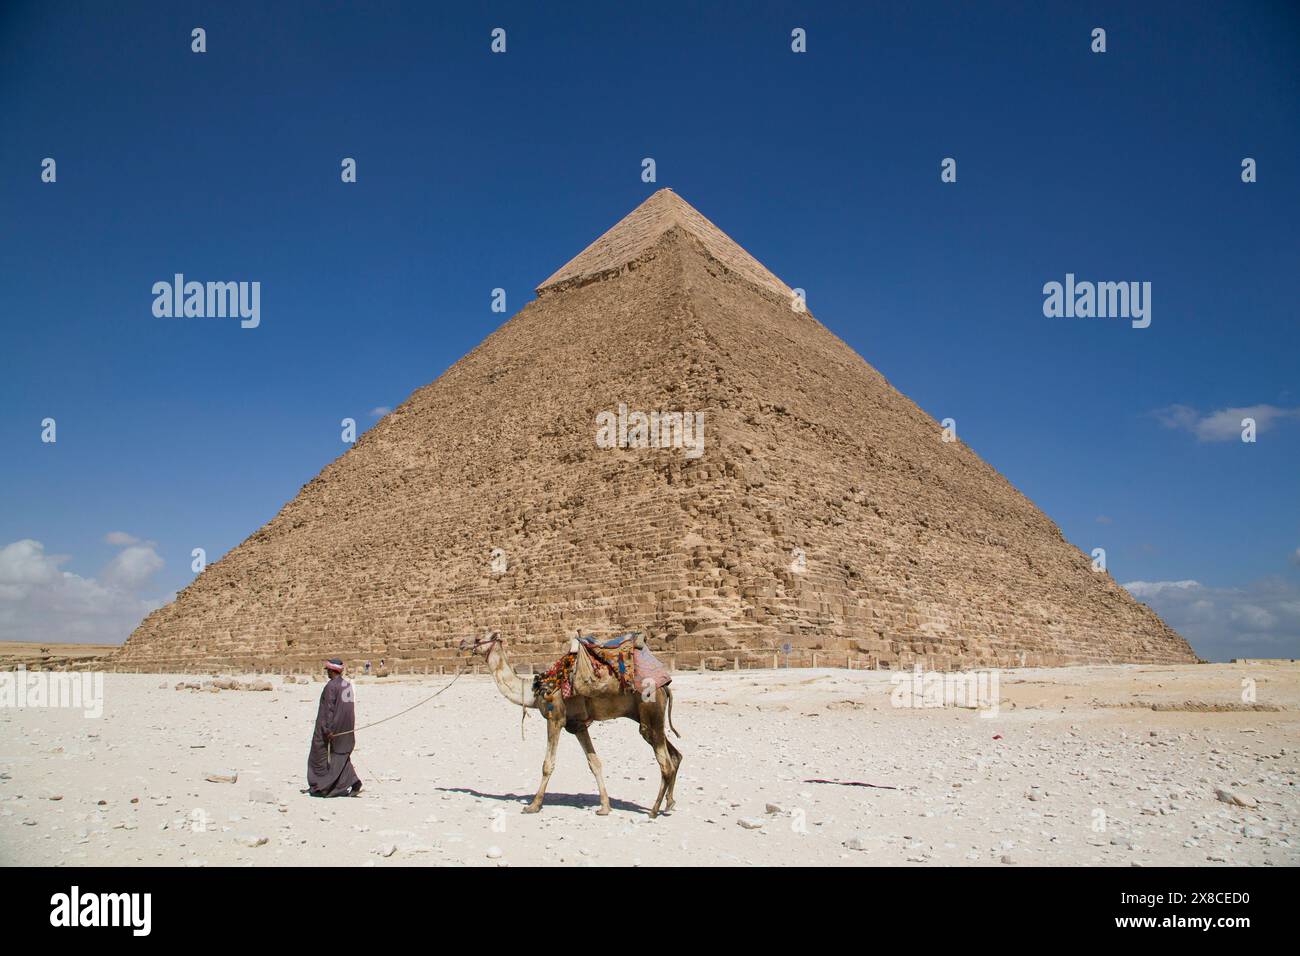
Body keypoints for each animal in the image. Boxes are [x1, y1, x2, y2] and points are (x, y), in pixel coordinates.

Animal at [458, 631, 682, 817]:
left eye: (478, 638)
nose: (461, 643)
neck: (533, 691)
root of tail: (664, 686)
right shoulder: (578, 725)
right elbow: (594, 763)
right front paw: (604, 807)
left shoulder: (555, 718)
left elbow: (547, 764)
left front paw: (533, 805)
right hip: (649, 720)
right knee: (675, 756)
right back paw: (669, 803)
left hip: (649, 715)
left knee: (665, 763)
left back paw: (654, 810)